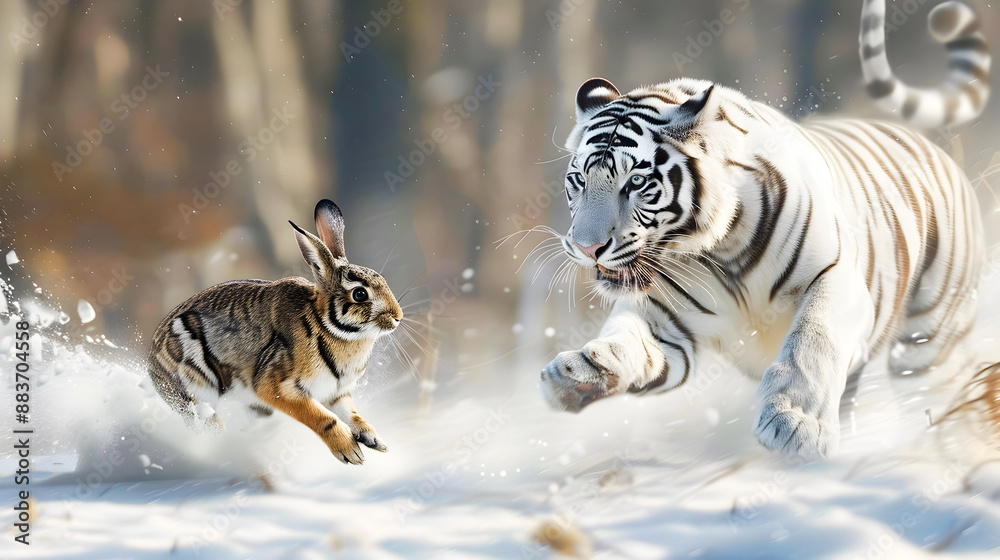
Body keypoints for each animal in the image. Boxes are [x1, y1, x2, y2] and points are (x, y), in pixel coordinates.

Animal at [539, 0, 991, 457]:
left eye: (634, 182)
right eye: (578, 180)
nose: (587, 248)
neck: (719, 252)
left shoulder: (836, 278)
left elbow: (813, 339)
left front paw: (795, 426)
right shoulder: (667, 321)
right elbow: (626, 336)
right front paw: (578, 374)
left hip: (929, 338)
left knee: (930, 383)